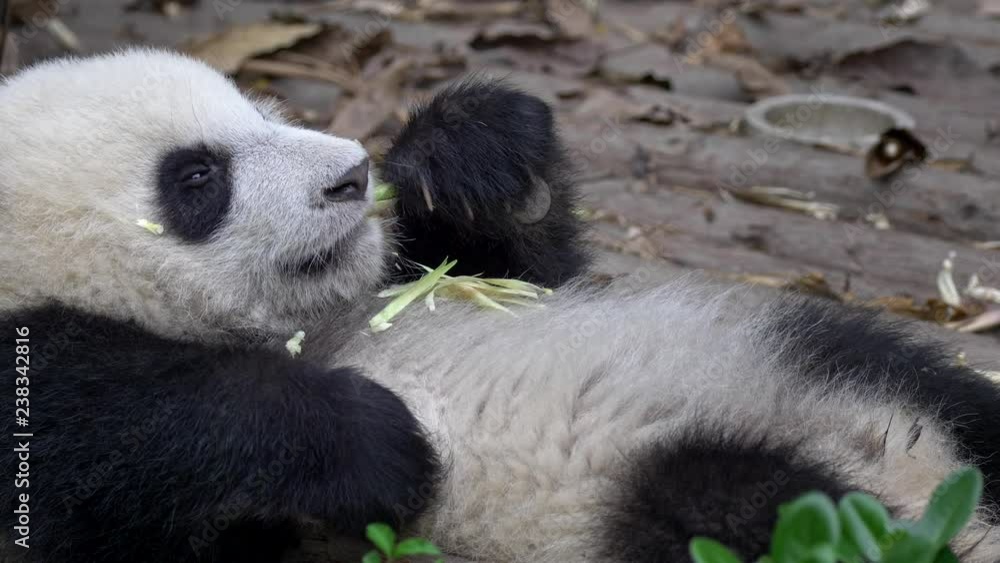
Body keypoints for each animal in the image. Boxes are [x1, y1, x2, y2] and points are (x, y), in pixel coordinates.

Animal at [2, 48, 1000, 563]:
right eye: (196, 178)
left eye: (260, 108)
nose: (350, 176)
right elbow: (123, 430)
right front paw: (369, 439)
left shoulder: (432, 274)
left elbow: (524, 268)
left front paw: (467, 152)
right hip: (653, 502)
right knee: (753, 510)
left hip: (820, 348)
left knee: (948, 395)